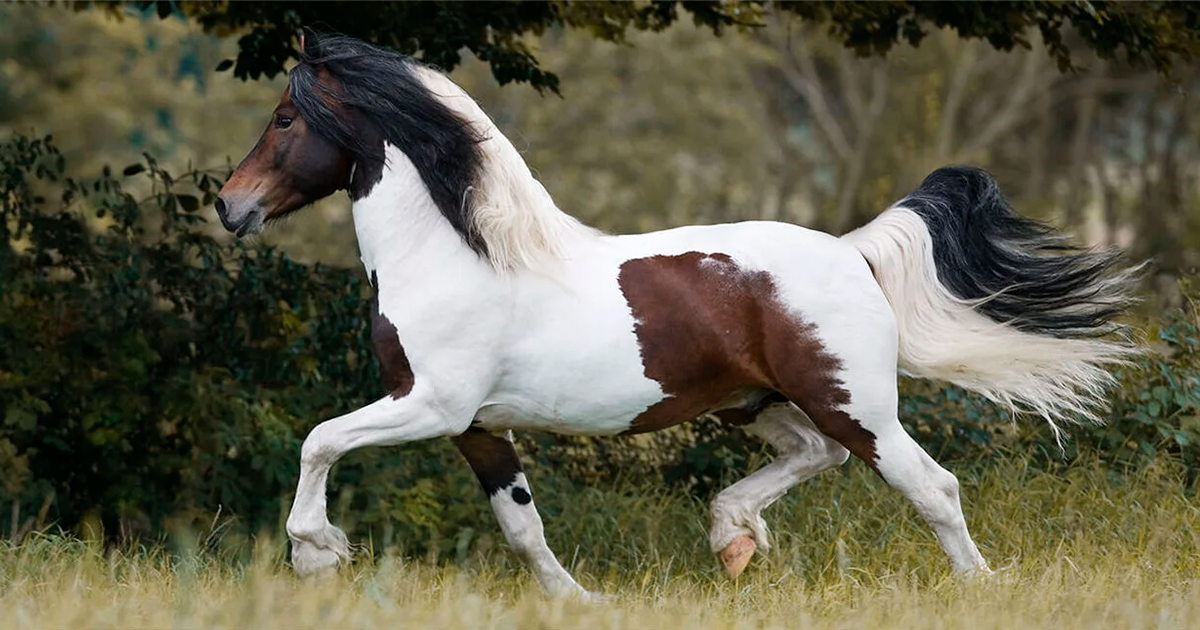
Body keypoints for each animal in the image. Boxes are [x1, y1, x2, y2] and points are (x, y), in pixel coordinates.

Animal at [211, 33, 1137, 595]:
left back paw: (981, 585)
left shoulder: (429, 406)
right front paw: (574, 600)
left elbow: (318, 440)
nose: (229, 205)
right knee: (814, 458)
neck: (457, 257)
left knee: (929, 486)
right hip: (756, 405)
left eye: (285, 117)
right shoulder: (475, 423)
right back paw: (731, 538)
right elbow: (521, 524)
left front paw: (314, 553)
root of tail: (851, 253)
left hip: (855, 404)